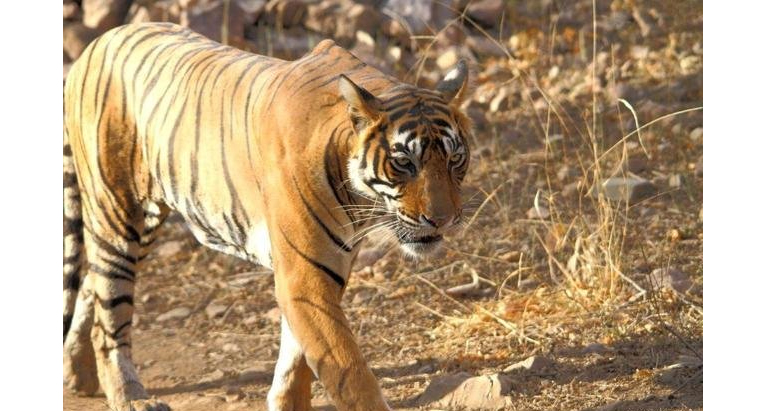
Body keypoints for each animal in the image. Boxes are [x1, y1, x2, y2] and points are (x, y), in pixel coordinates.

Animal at [63, 22, 472, 411]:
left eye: (455, 159)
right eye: (404, 163)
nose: (443, 219)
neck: (361, 197)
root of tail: (97, 44)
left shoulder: (323, 269)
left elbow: (297, 355)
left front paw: (288, 403)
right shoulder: (304, 274)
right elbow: (348, 370)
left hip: (145, 219)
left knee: (92, 286)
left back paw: (77, 373)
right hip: (116, 209)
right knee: (108, 313)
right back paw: (130, 396)